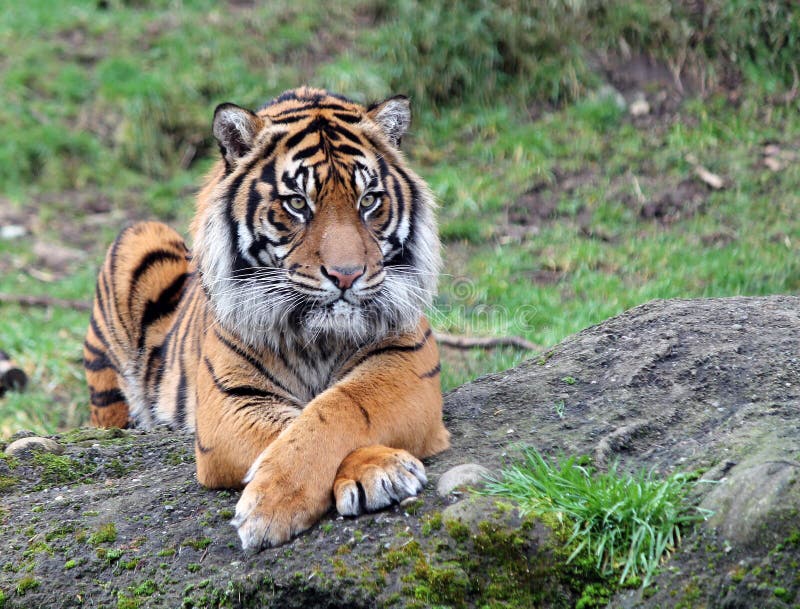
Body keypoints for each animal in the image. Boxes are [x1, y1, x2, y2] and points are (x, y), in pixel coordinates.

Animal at [83, 87, 450, 550]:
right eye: (297, 203)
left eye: (368, 200)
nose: (346, 275)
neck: (320, 337)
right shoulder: (228, 401)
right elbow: (291, 430)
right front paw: (275, 503)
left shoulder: (407, 366)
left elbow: (337, 410)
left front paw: (376, 470)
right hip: (139, 237)